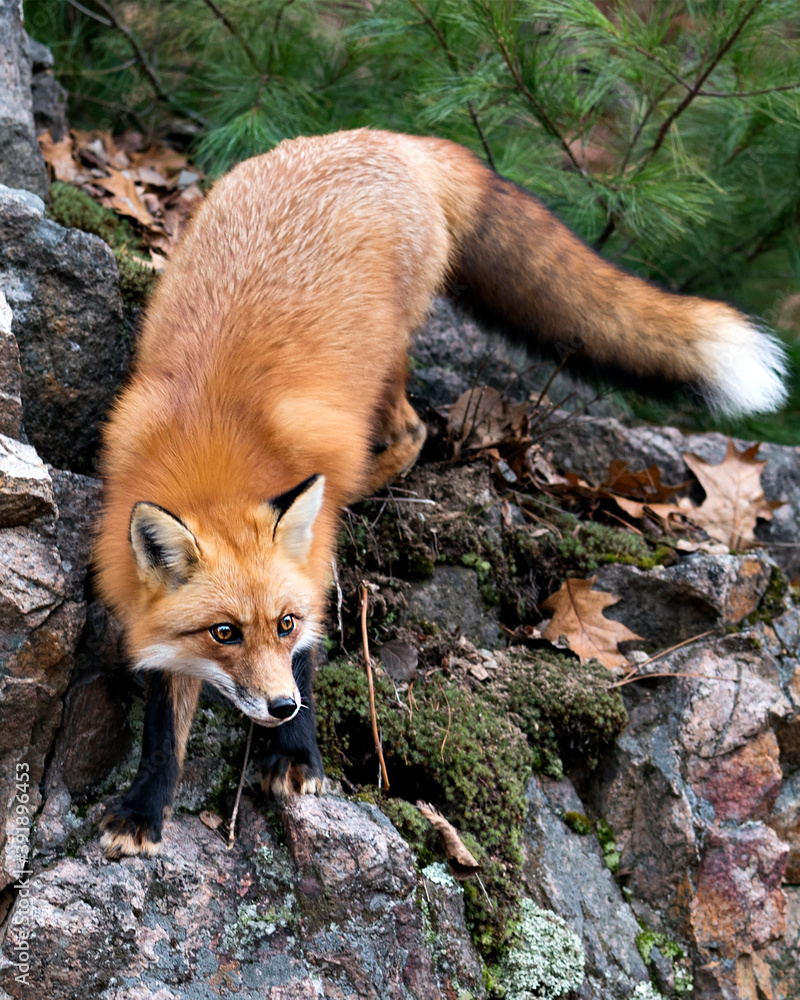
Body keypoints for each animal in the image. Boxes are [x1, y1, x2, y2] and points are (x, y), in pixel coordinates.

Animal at [95, 128, 787, 858]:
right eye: (224, 633)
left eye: (284, 624)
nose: (280, 709)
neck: (213, 451)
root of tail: (386, 139)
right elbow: (162, 729)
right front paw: (144, 809)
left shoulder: (311, 572)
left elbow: (309, 656)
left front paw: (297, 755)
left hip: (390, 352)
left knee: (413, 431)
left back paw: (362, 489)